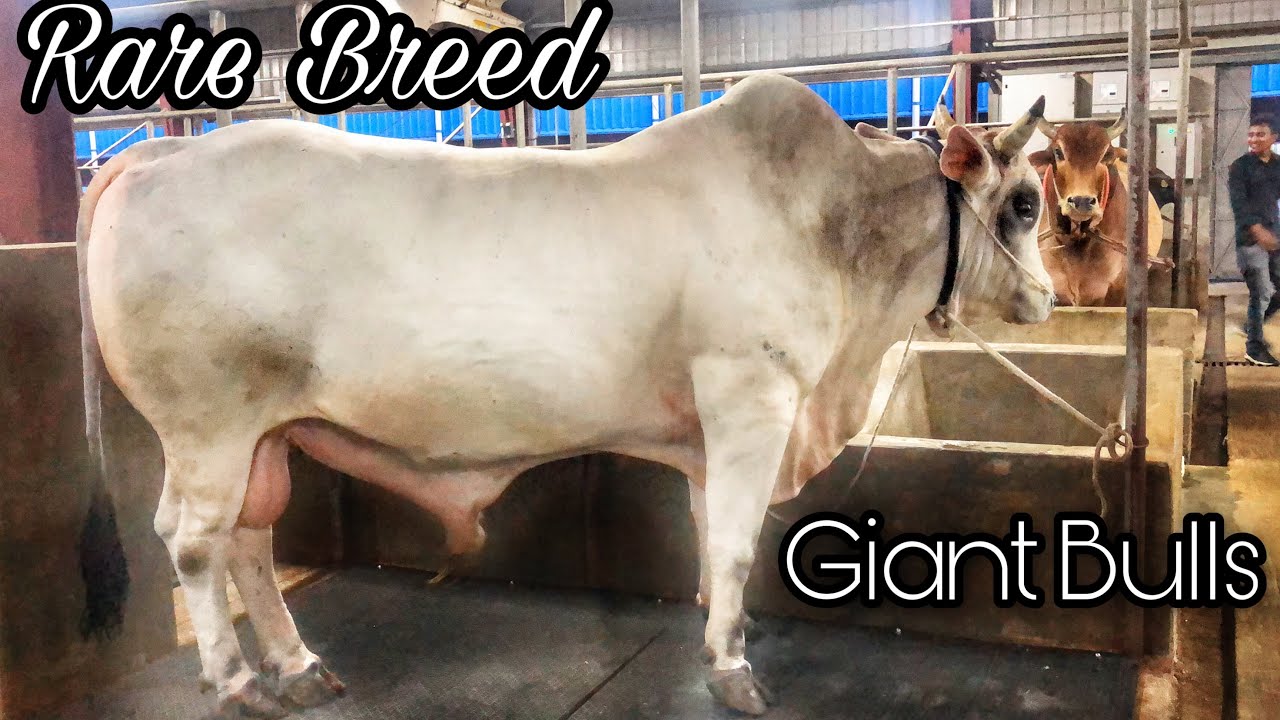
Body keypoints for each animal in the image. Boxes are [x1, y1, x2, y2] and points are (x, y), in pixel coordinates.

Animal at [76, 74, 1053, 718]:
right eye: (1026, 204)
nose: (1048, 297)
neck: (830, 223)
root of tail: (165, 150)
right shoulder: (754, 397)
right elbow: (736, 542)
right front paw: (735, 671)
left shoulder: (712, 428)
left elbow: (707, 536)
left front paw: (717, 636)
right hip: (205, 425)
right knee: (193, 543)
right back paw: (237, 680)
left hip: (264, 432)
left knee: (250, 539)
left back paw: (297, 664)